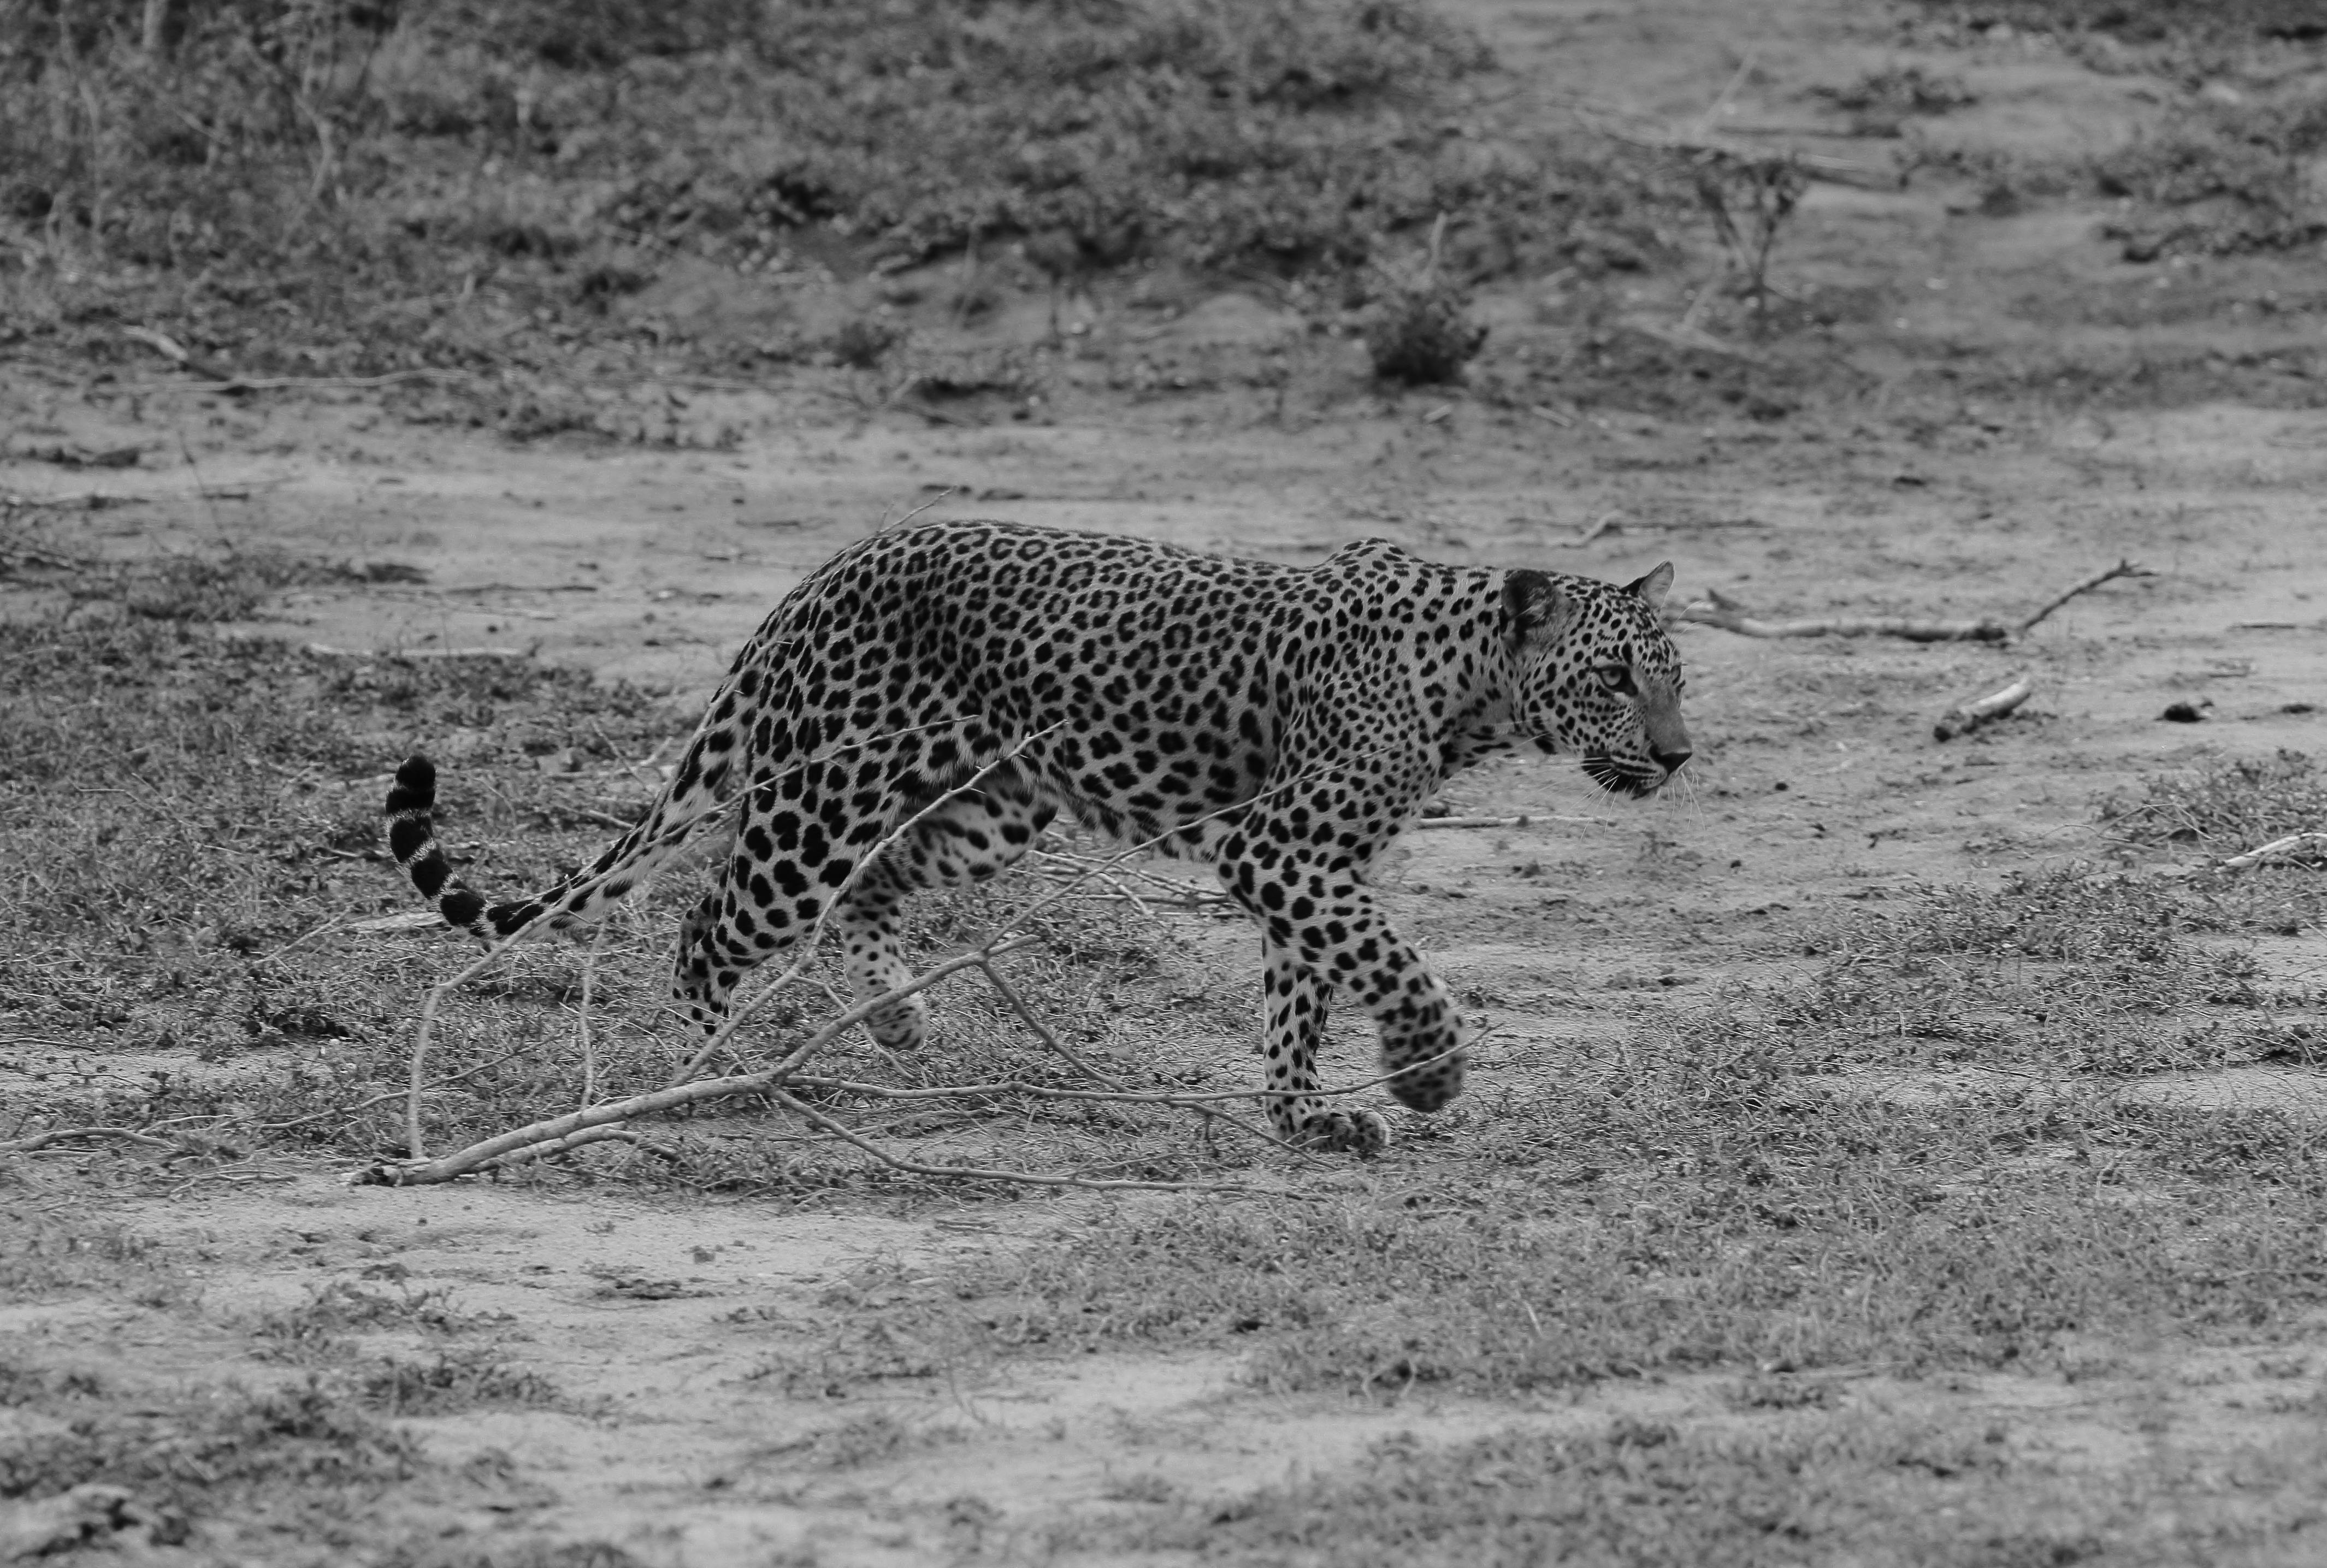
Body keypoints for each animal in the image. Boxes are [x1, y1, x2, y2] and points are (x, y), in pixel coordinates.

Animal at [384, 519, 1691, 1153]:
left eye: (1676, 678)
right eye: (1617, 678)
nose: (1681, 756)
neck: (1472, 687)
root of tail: (818, 576)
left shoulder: (1312, 865)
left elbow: (1304, 988)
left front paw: (1305, 1115)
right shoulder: (1279, 851)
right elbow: (1385, 960)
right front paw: (1427, 1068)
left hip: (988, 803)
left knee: (872, 893)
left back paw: (899, 1019)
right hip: (823, 802)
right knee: (714, 919)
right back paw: (715, 1072)